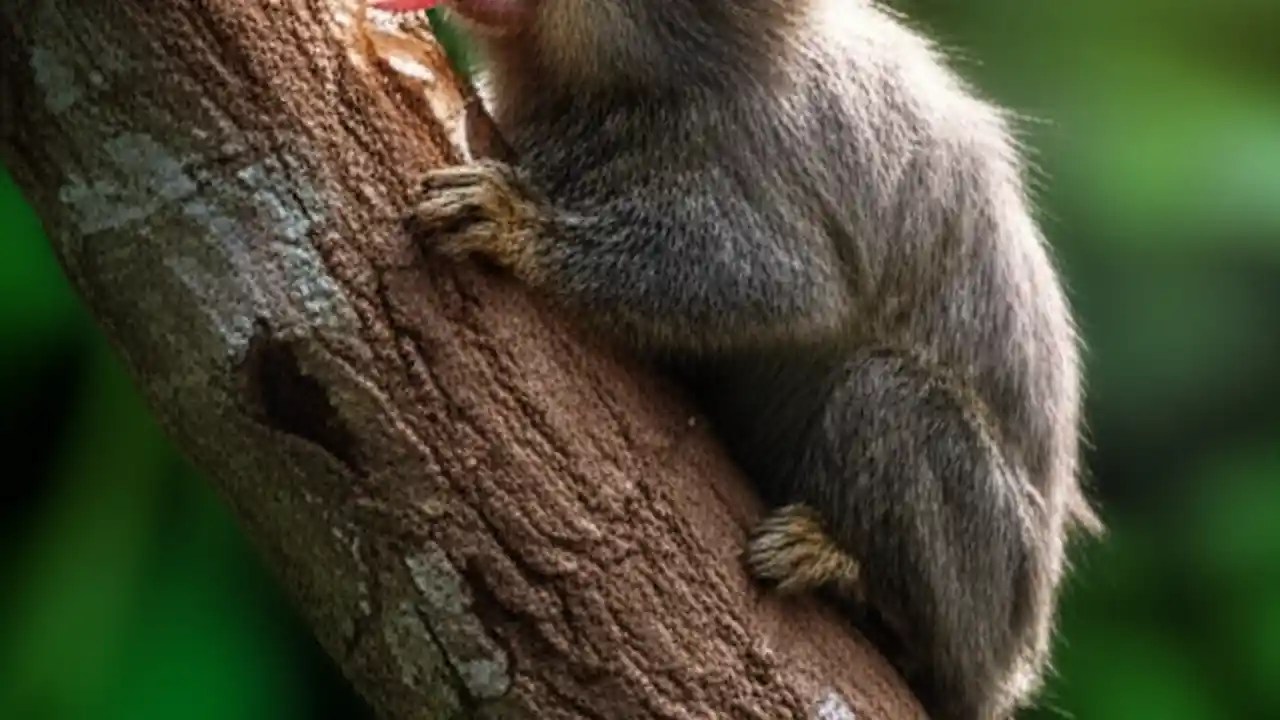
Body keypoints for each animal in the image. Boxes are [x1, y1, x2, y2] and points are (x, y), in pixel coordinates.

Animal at [377, 1, 1102, 717]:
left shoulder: (737, 138)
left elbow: (779, 285)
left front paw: (521, 227)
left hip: (991, 578)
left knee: (890, 395)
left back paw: (850, 573)